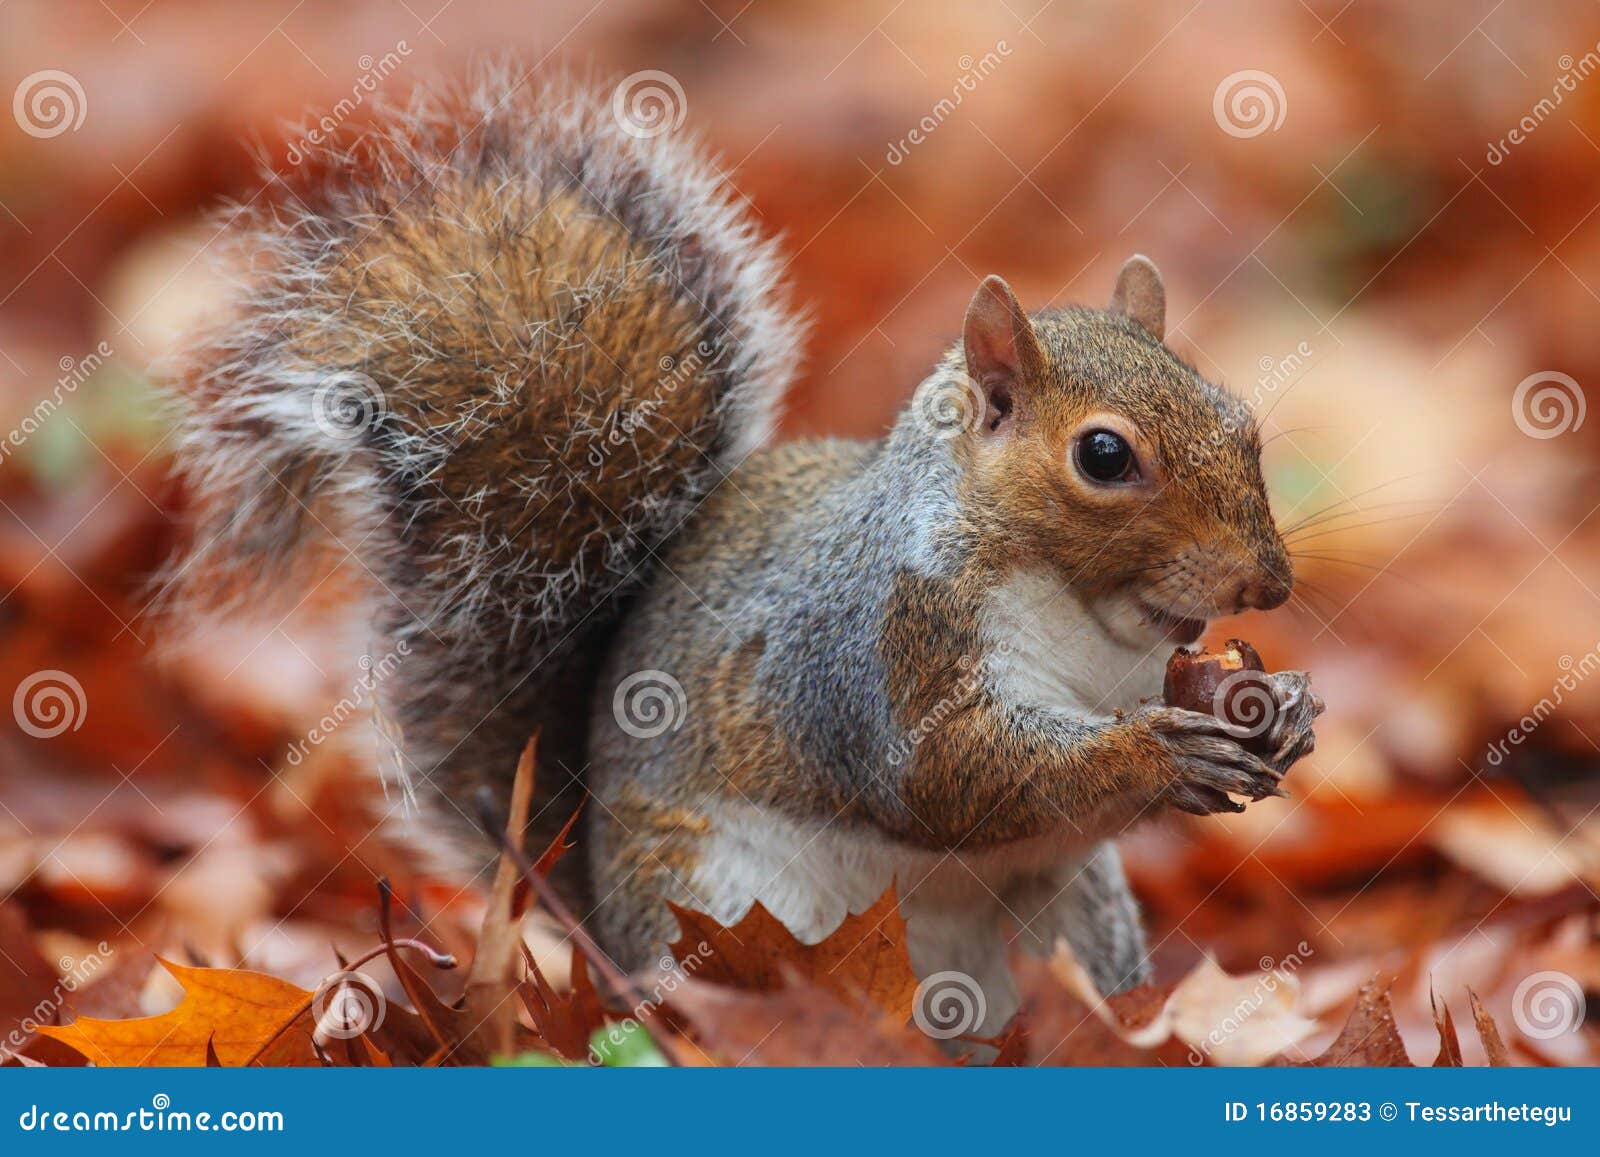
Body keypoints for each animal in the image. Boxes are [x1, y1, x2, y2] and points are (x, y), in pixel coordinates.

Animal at [169, 72, 1320, 1037]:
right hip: (724, 911)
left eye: (1240, 421)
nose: (1266, 582)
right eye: (1103, 455)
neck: (1085, 620)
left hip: (1076, 915)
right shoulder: (874, 651)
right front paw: (1158, 753)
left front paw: (1278, 709)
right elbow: (947, 774)